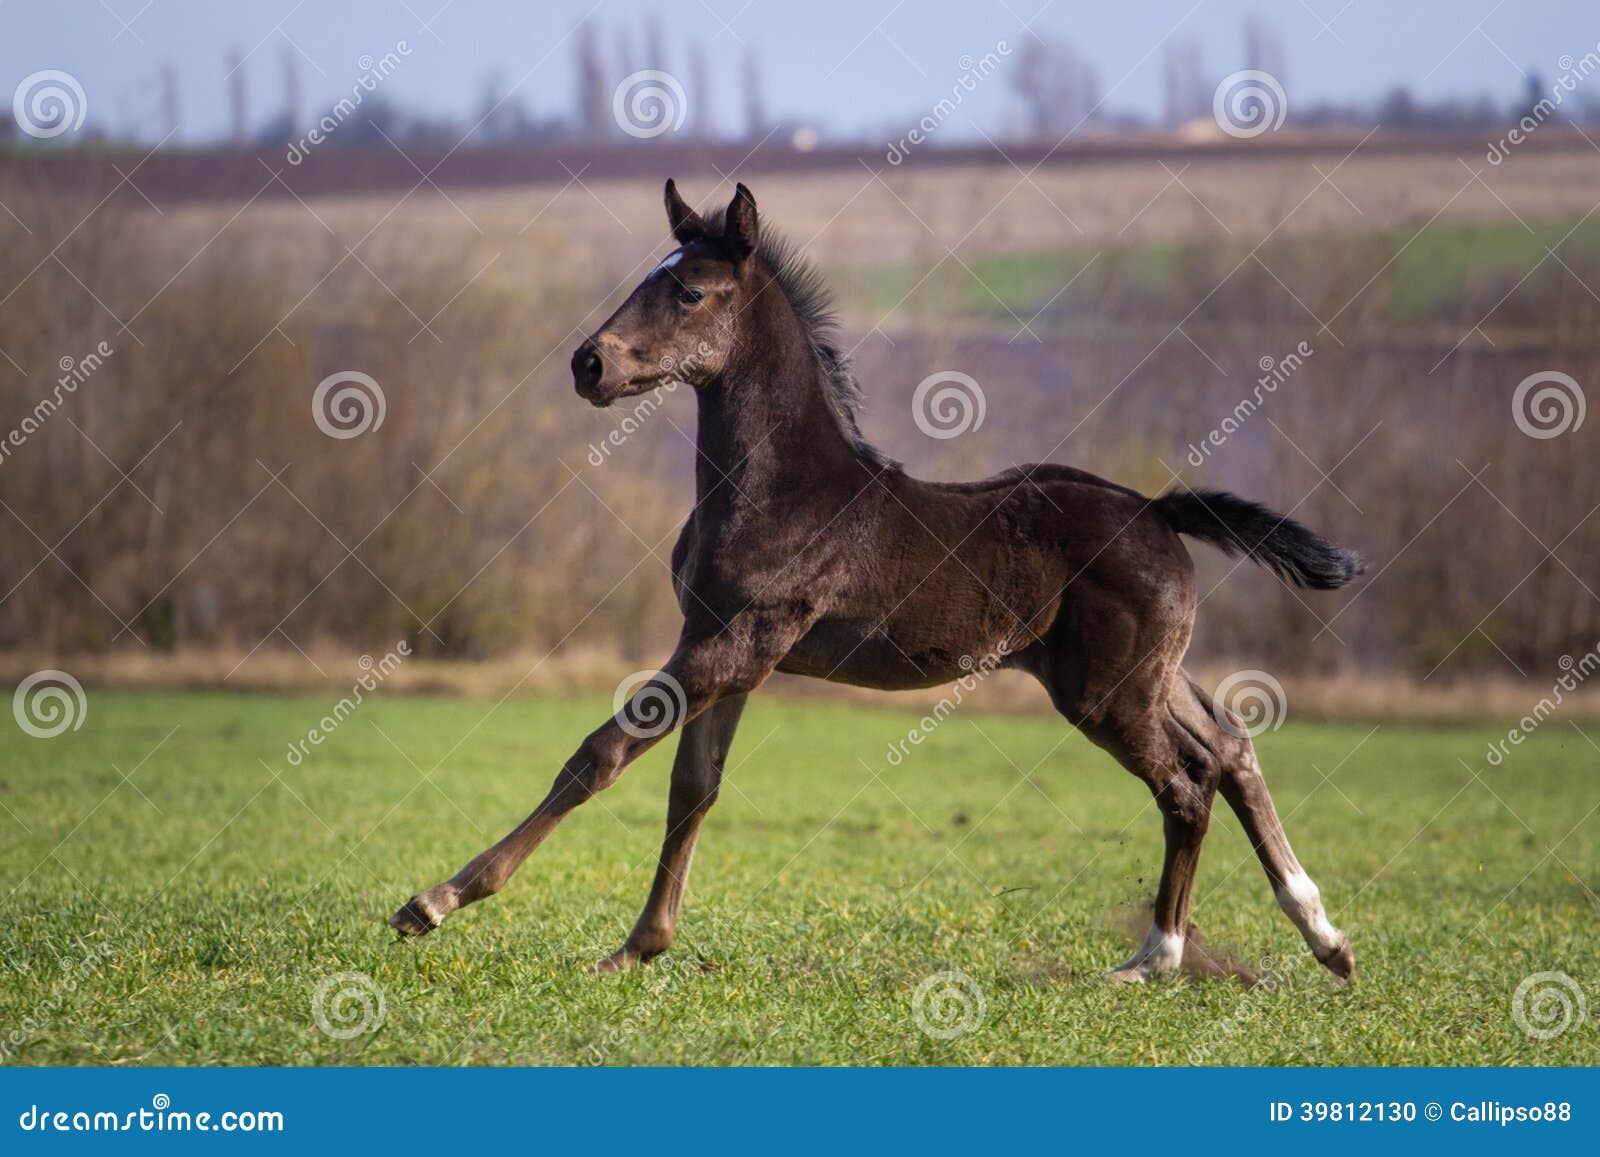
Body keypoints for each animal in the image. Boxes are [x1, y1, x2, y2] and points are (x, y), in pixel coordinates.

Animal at [391, 179, 1363, 983]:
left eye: (690, 292)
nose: (589, 364)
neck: (781, 488)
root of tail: (1159, 510)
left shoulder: (739, 640)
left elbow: (601, 753)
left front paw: (436, 900)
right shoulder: (720, 646)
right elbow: (691, 786)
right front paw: (639, 947)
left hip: (1106, 691)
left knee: (1185, 785)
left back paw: (1156, 957)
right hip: (1140, 673)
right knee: (1229, 747)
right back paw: (1324, 934)